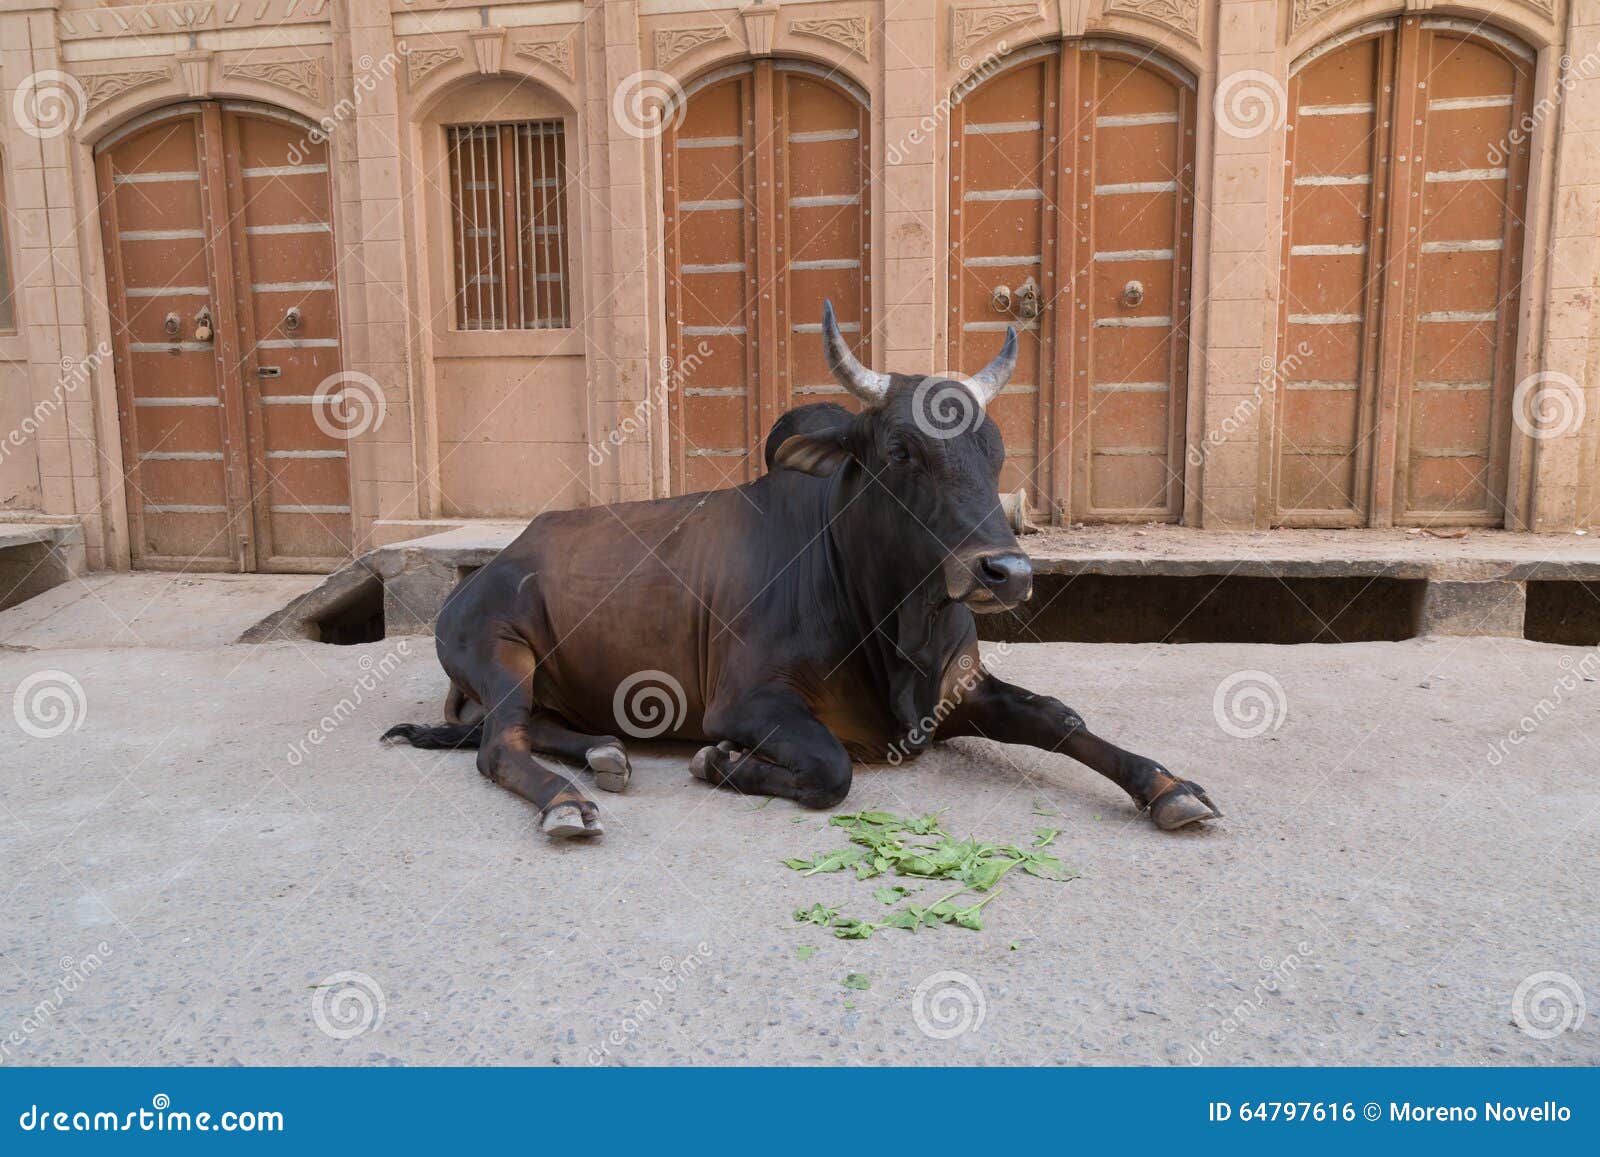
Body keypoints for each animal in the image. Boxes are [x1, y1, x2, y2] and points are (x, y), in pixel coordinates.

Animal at [383, 303, 1221, 840]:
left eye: (995, 451)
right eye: (901, 451)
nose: (1005, 571)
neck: (892, 624)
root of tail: (498, 558)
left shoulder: (958, 687)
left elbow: (1060, 716)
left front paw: (1169, 785)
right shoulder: (748, 699)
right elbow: (829, 769)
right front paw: (721, 762)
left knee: (529, 726)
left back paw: (600, 752)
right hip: (497, 648)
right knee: (500, 742)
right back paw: (567, 799)